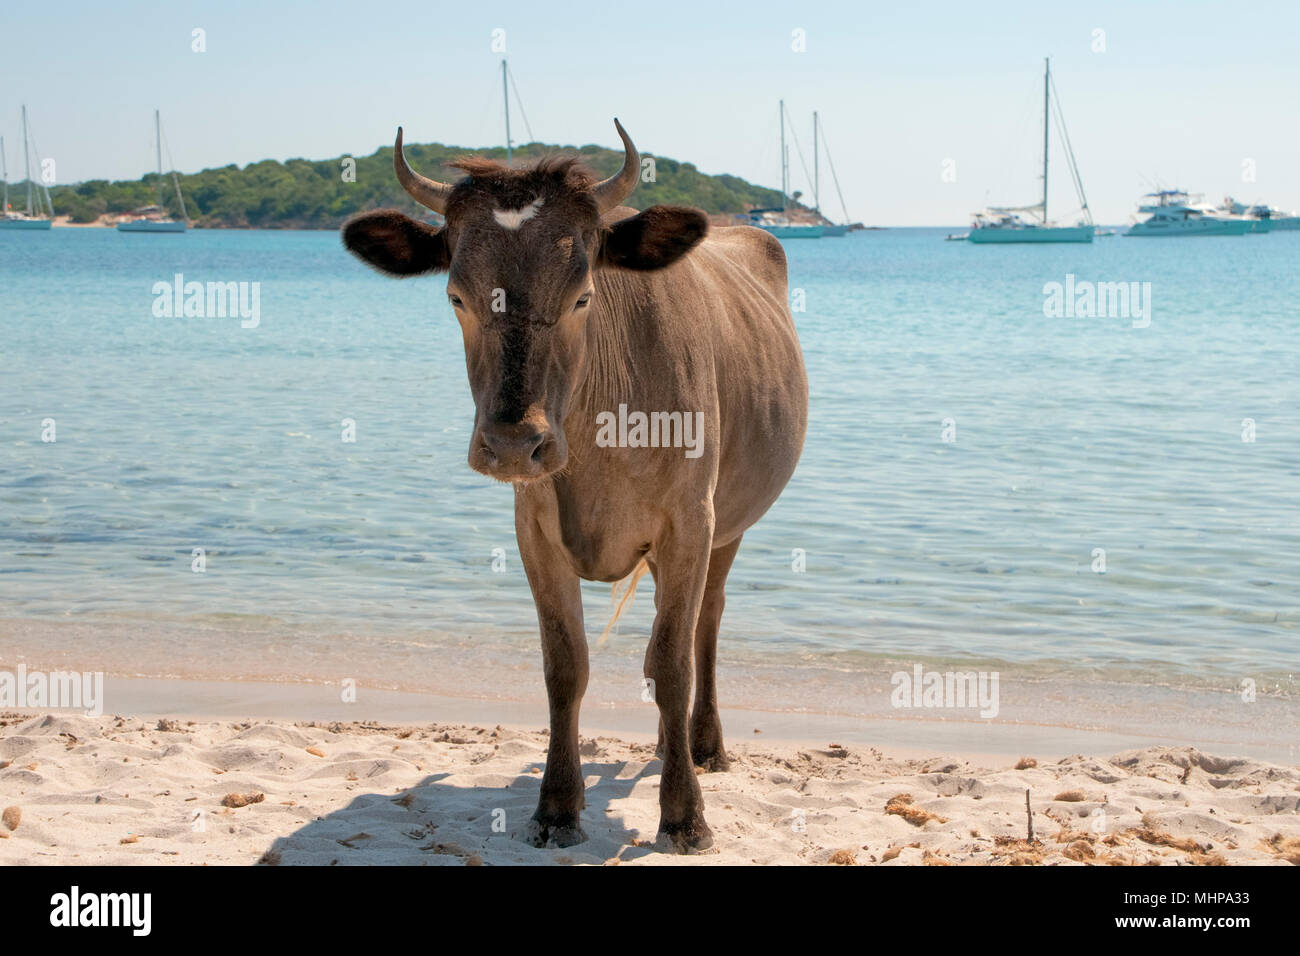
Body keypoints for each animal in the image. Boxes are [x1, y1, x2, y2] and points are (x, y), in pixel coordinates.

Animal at [342, 120, 807, 852]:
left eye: (582, 296)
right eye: (456, 297)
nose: (512, 443)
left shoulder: (690, 522)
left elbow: (672, 665)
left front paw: (685, 813)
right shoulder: (534, 528)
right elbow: (566, 667)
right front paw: (558, 805)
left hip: (730, 523)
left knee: (704, 623)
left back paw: (703, 744)